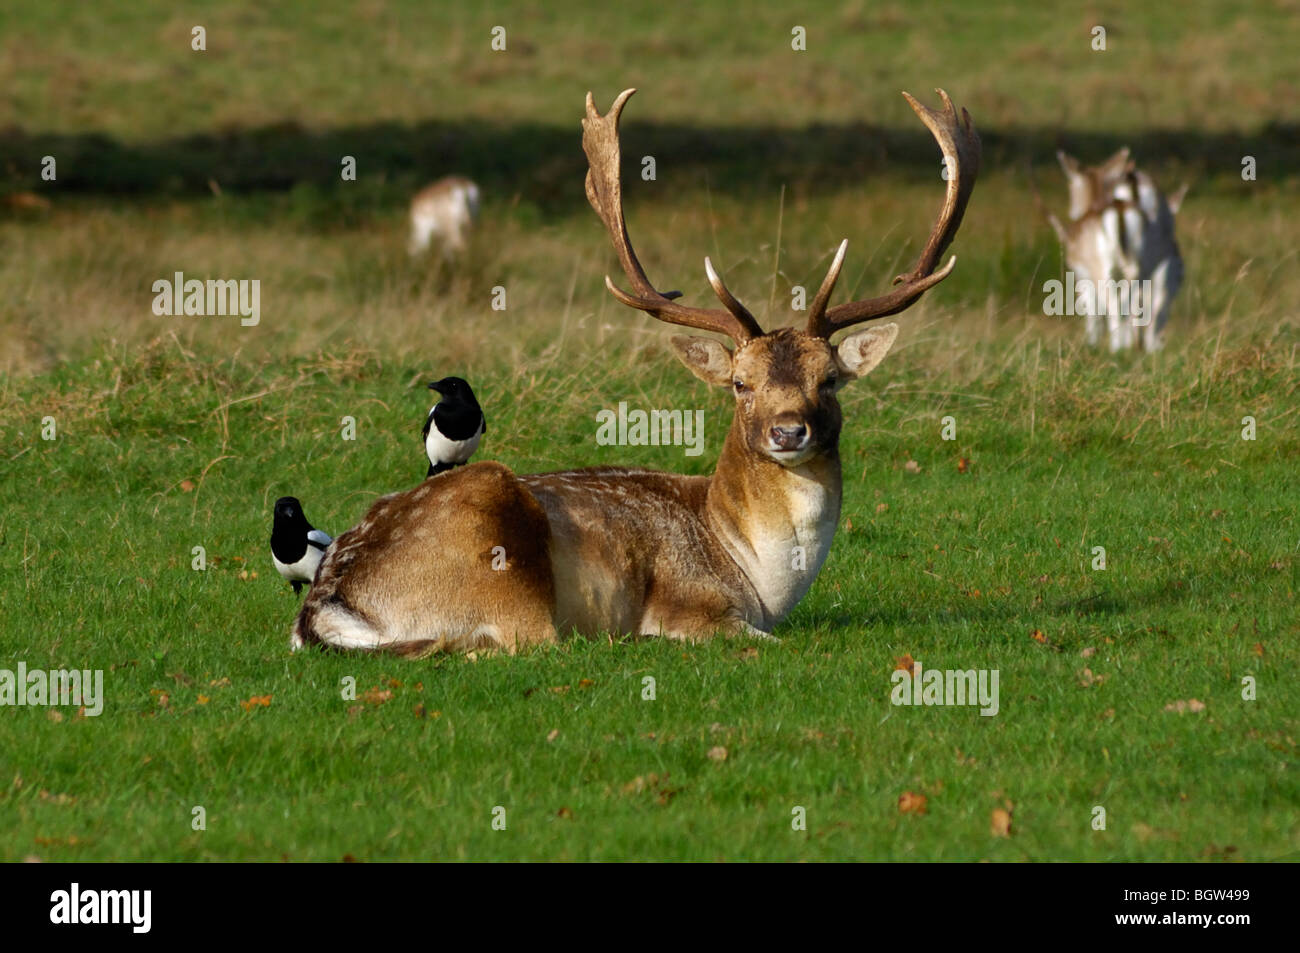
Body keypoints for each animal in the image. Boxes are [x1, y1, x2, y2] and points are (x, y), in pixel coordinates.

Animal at [291, 88, 979, 657]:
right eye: (741, 384)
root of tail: (326, 603)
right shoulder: (693, 602)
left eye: (829, 380)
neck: (756, 575)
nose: (788, 431)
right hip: (501, 555)